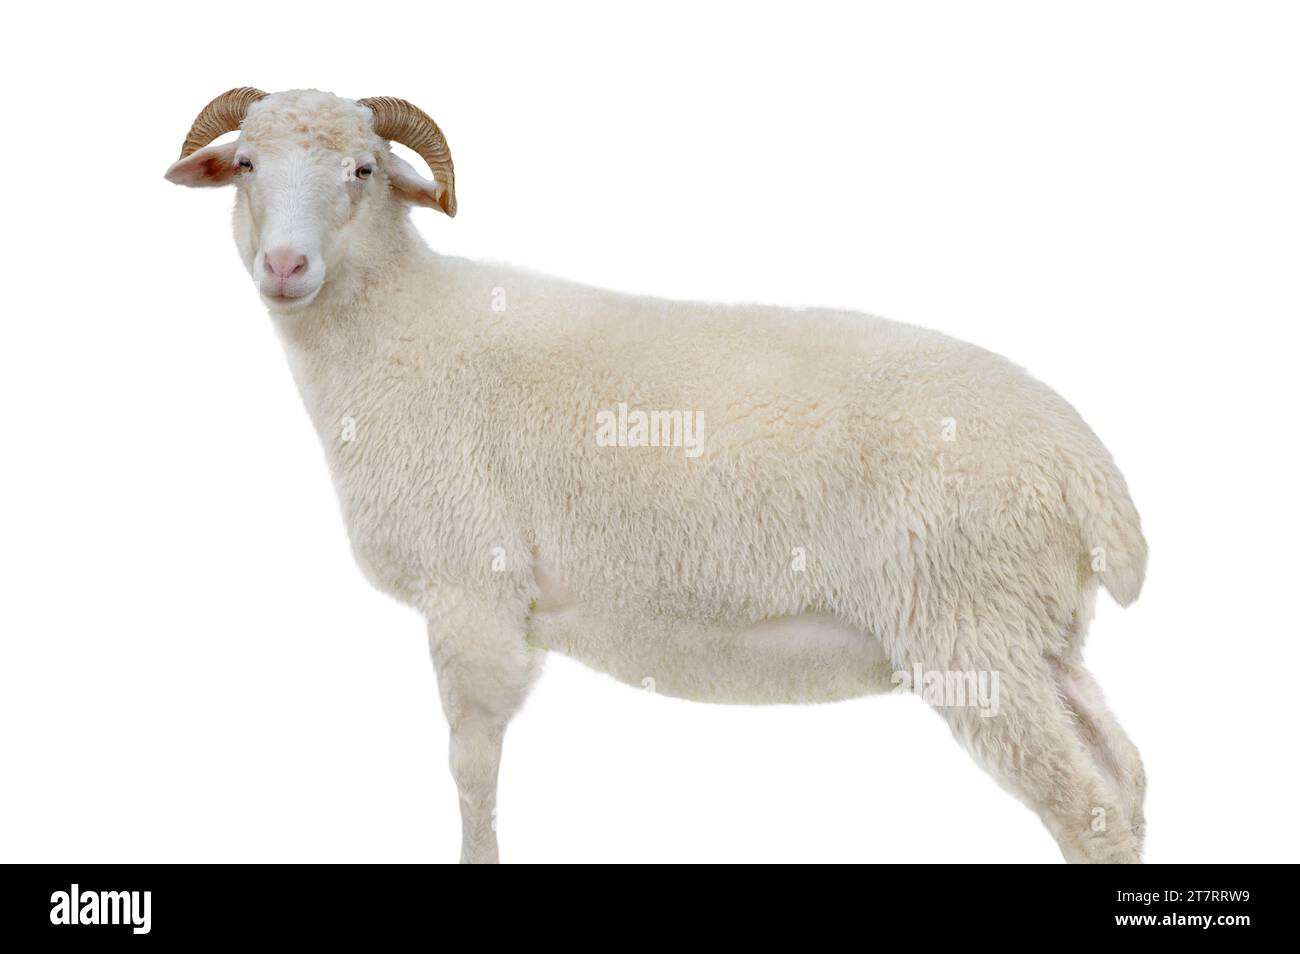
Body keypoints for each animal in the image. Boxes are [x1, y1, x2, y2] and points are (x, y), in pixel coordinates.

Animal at [166, 88, 1149, 864]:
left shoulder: (470, 589)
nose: (284, 266)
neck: (399, 334)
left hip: (968, 625)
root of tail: (1087, 471)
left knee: (1083, 805)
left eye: (363, 170)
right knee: (1126, 780)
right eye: (245, 163)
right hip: (1034, 631)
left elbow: (471, 771)